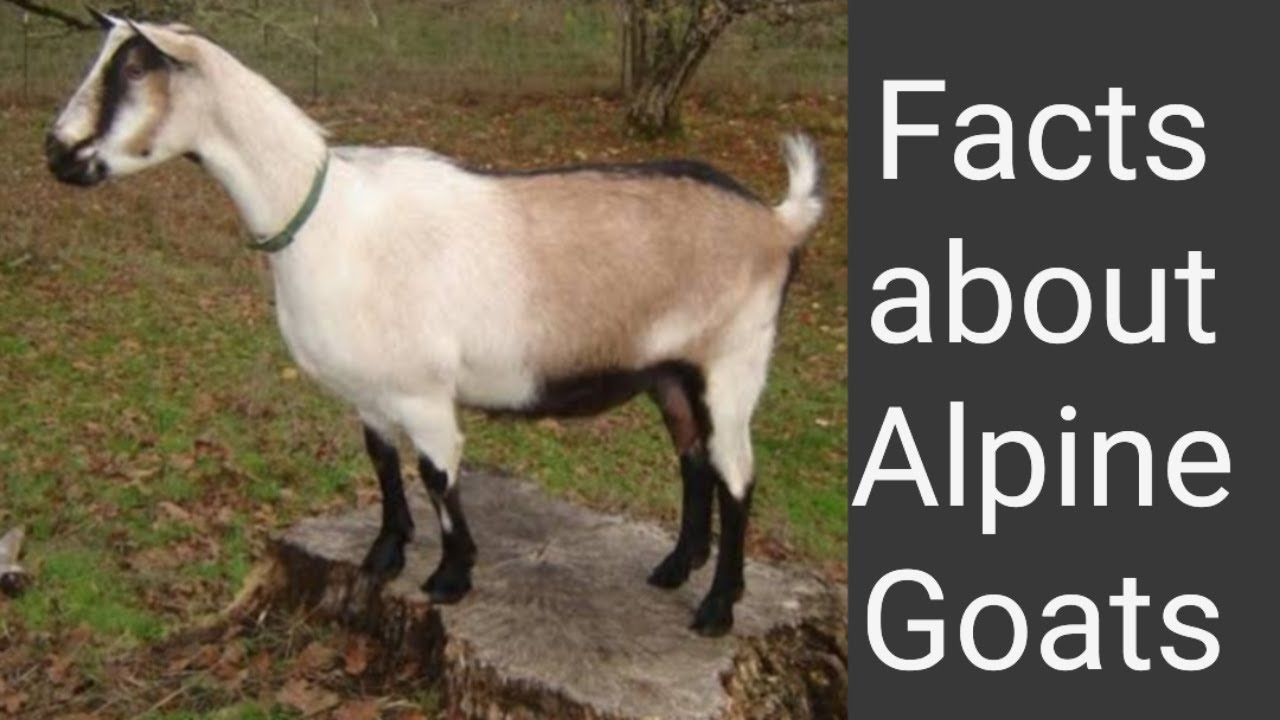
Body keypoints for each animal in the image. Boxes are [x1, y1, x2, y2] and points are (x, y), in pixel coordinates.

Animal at [45, 12, 824, 636]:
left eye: (135, 66)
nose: (58, 151)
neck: (327, 218)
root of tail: (777, 223)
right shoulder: (370, 391)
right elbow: (383, 465)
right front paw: (383, 556)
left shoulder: (423, 391)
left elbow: (436, 473)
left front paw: (451, 576)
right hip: (669, 371)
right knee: (694, 458)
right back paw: (673, 568)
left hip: (733, 362)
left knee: (736, 475)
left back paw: (716, 609)